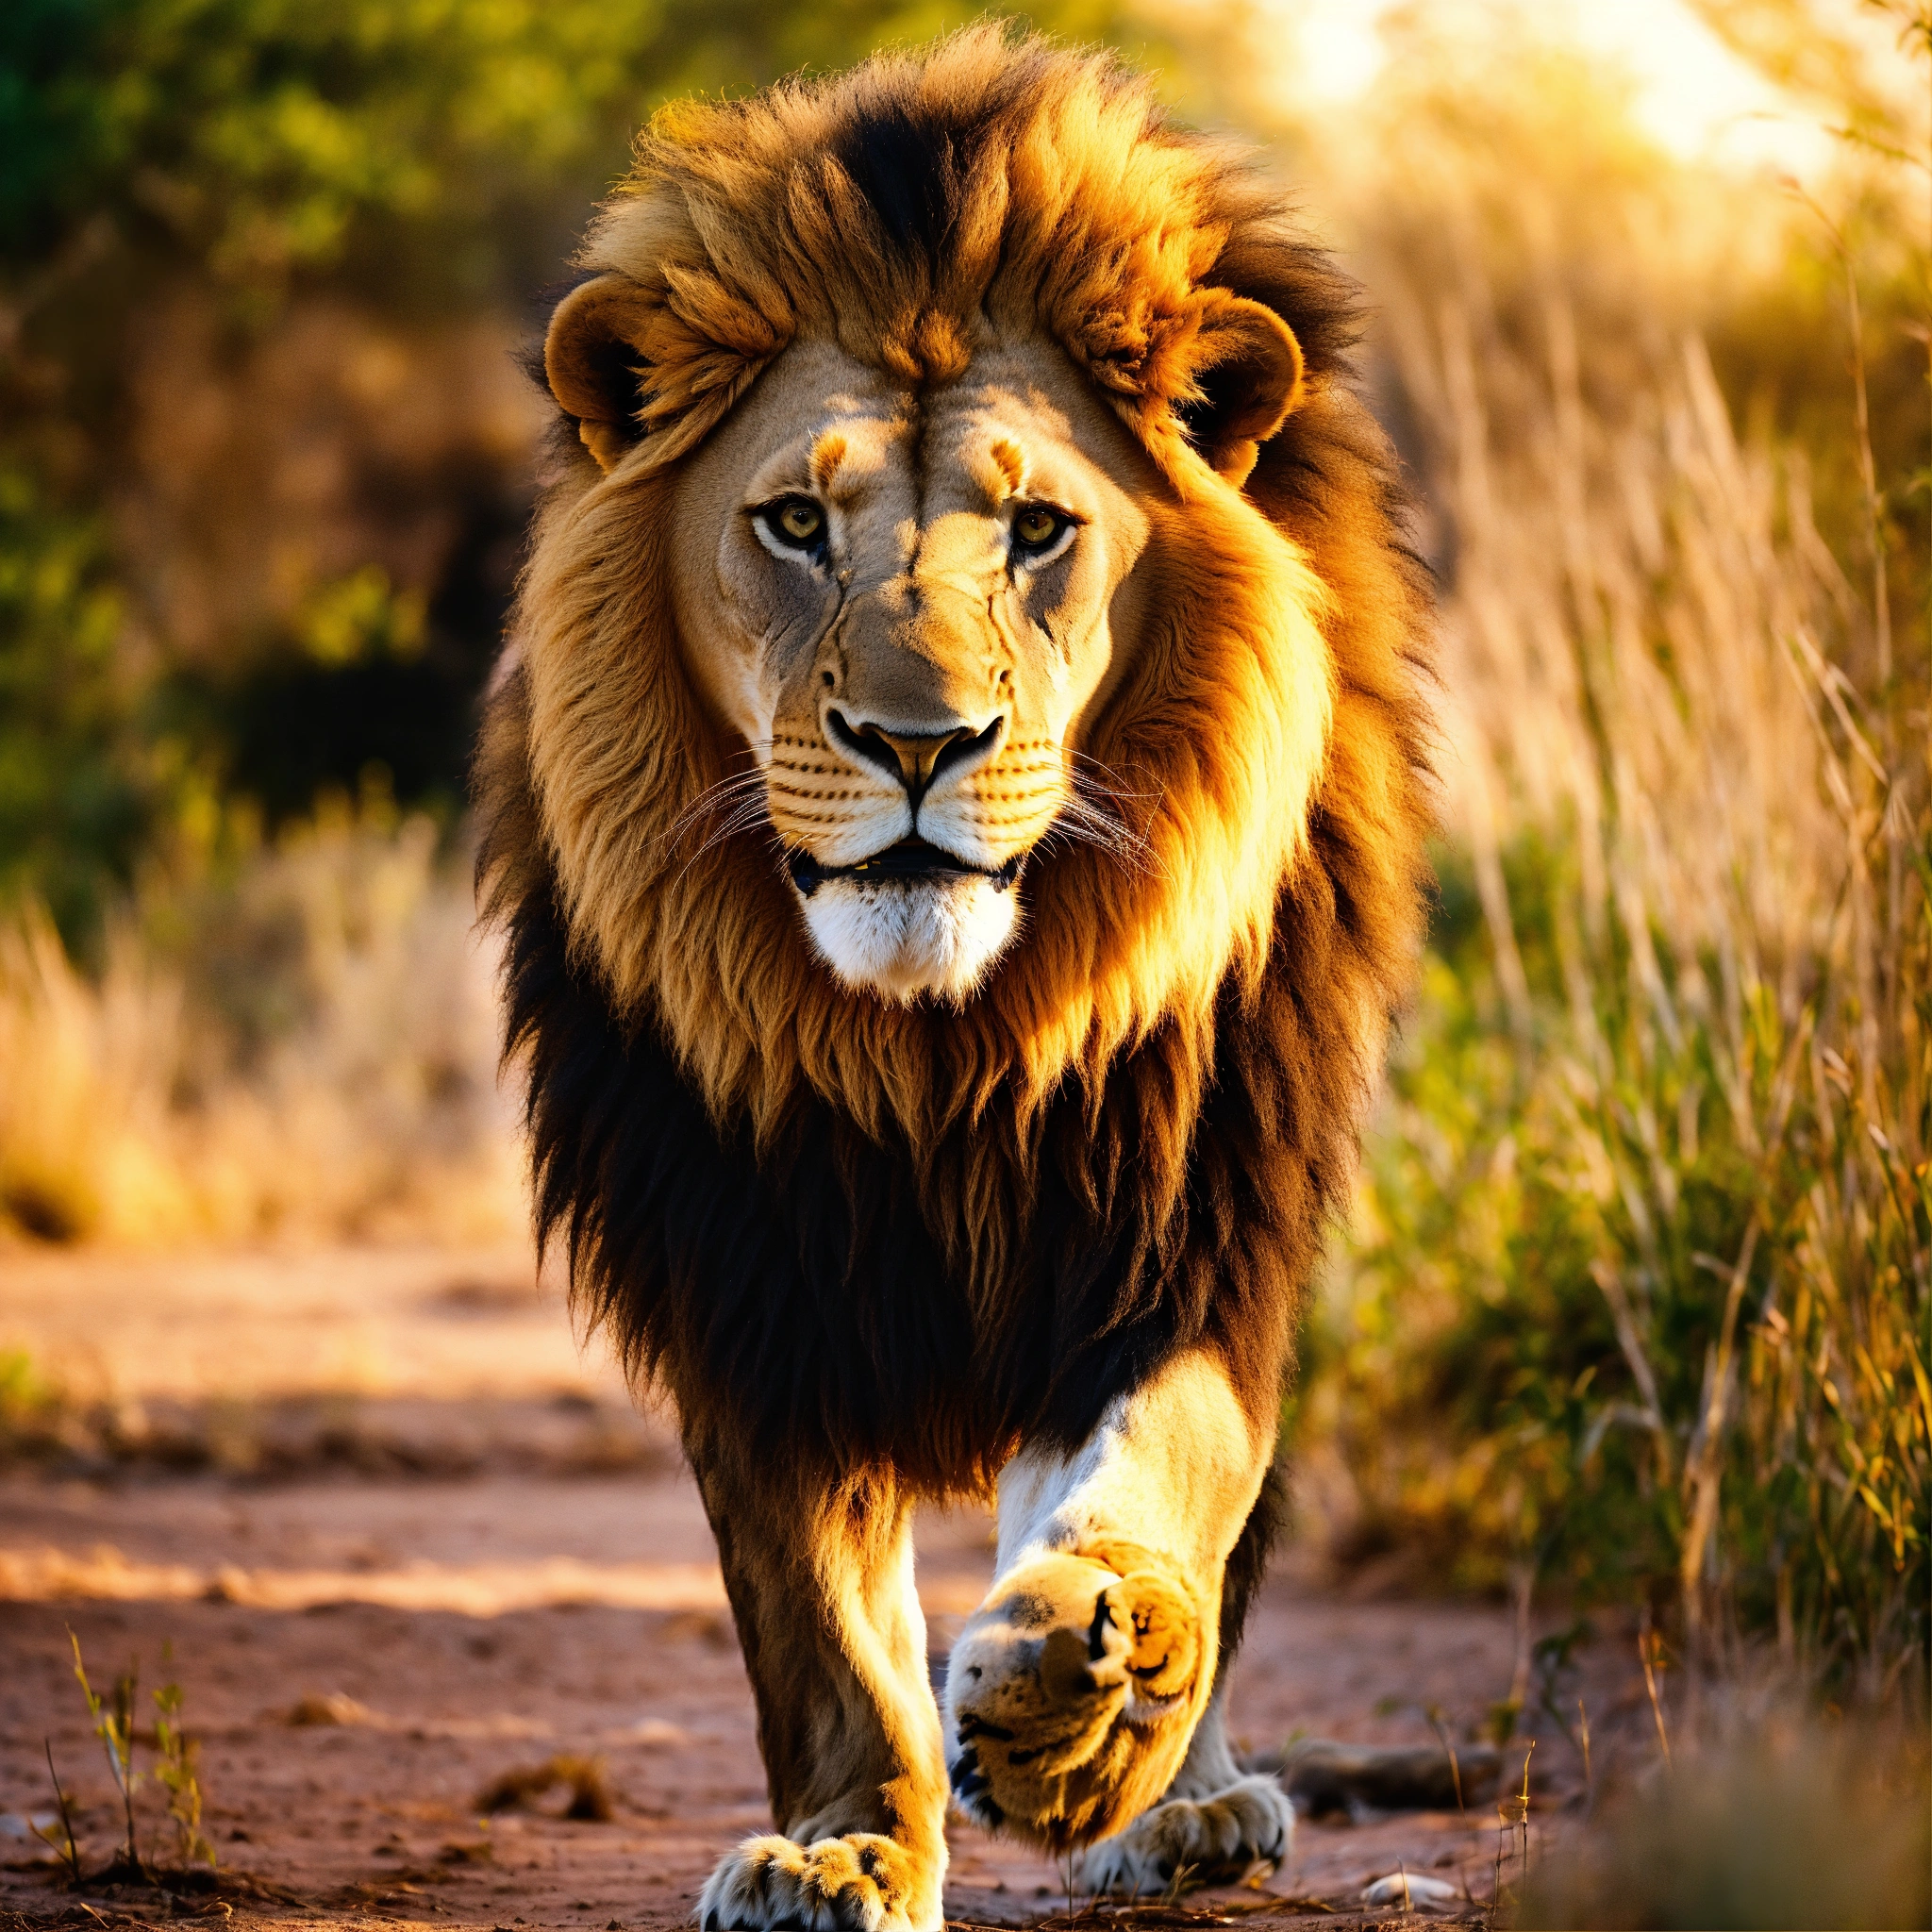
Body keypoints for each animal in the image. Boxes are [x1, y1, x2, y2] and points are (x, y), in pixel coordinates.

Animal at [476, 29, 1432, 1932]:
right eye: (791, 521)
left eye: (1042, 528)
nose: (918, 745)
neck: (938, 1047)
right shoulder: (748, 1271)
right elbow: (819, 1621)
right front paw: (846, 1842)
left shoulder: (1188, 1217)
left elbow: (1172, 1466)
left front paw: (1086, 1694)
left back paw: (1183, 1802)